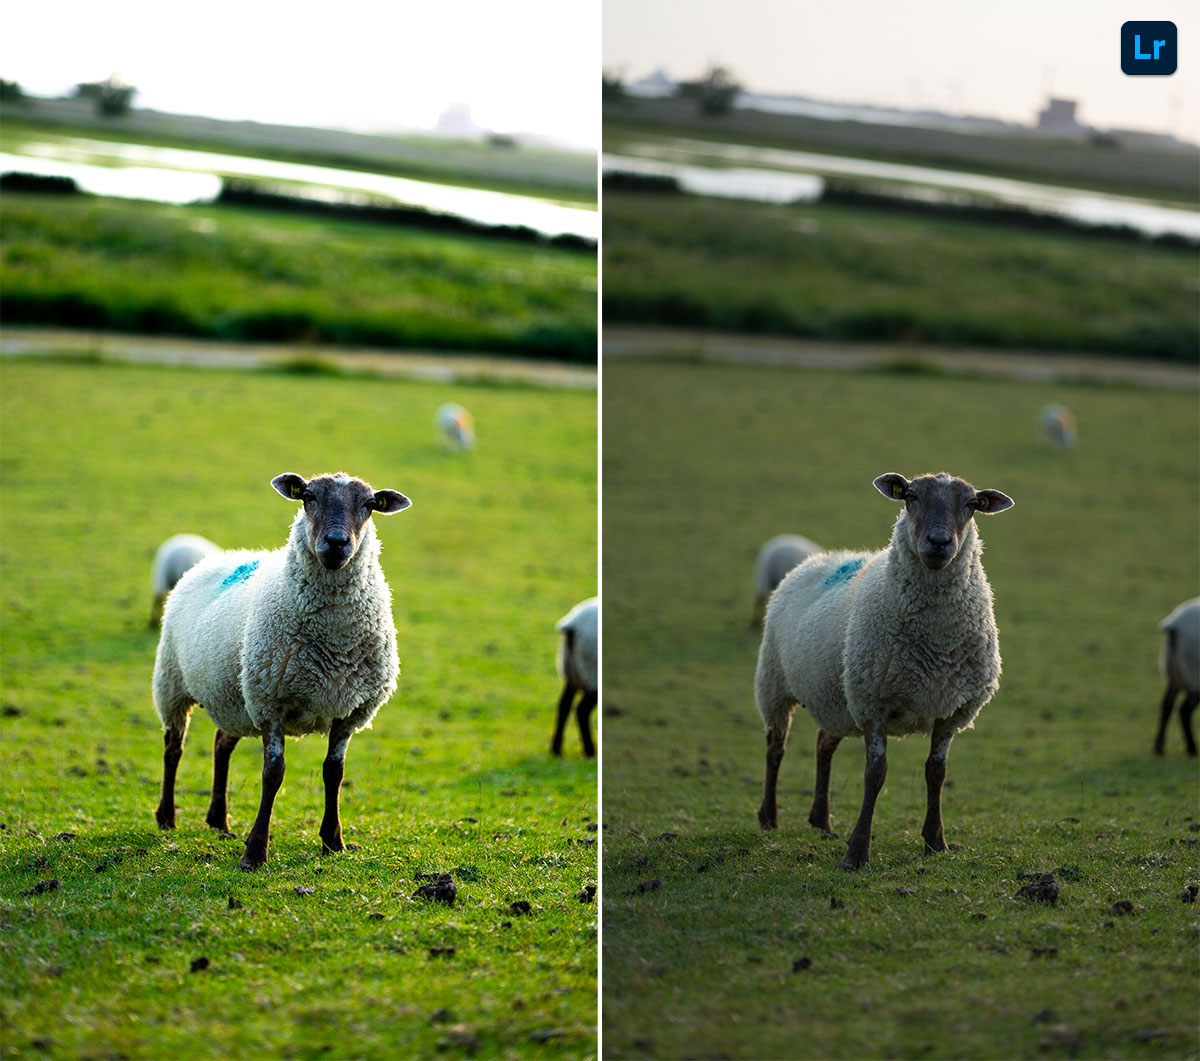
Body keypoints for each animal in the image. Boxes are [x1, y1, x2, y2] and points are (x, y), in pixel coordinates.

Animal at [152, 471, 412, 870]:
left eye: (370, 504)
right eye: (307, 496)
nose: (336, 543)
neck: (334, 644)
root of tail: (223, 556)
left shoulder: (351, 710)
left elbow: (334, 772)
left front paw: (333, 841)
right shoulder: (271, 701)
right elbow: (273, 773)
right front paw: (255, 851)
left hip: (235, 696)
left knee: (221, 745)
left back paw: (219, 821)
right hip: (173, 684)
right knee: (173, 748)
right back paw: (167, 816)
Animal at [551, 597, 597, 757]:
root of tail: (574, 624)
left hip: (571, 672)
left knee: (564, 705)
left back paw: (556, 749)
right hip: (591, 672)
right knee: (581, 710)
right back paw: (590, 750)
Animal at [755, 471, 1014, 870]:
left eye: (972, 504)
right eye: (910, 496)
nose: (939, 542)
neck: (936, 644)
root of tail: (820, 558)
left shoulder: (952, 710)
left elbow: (936, 773)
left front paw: (936, 841)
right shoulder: (874, 702)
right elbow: (875, 774)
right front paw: (857, 852)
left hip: (838, 697)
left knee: (823, 745)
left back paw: (821, 821)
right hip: (775, 684)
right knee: (775, 748)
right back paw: (769, 817)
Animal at [1154, 597, 1199, 757]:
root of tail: (1176, 624)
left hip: (1174, 674)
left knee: (1166, 706)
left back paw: (1159, 748)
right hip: (1194, 674)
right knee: (1184, 710)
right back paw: (1192, 749)